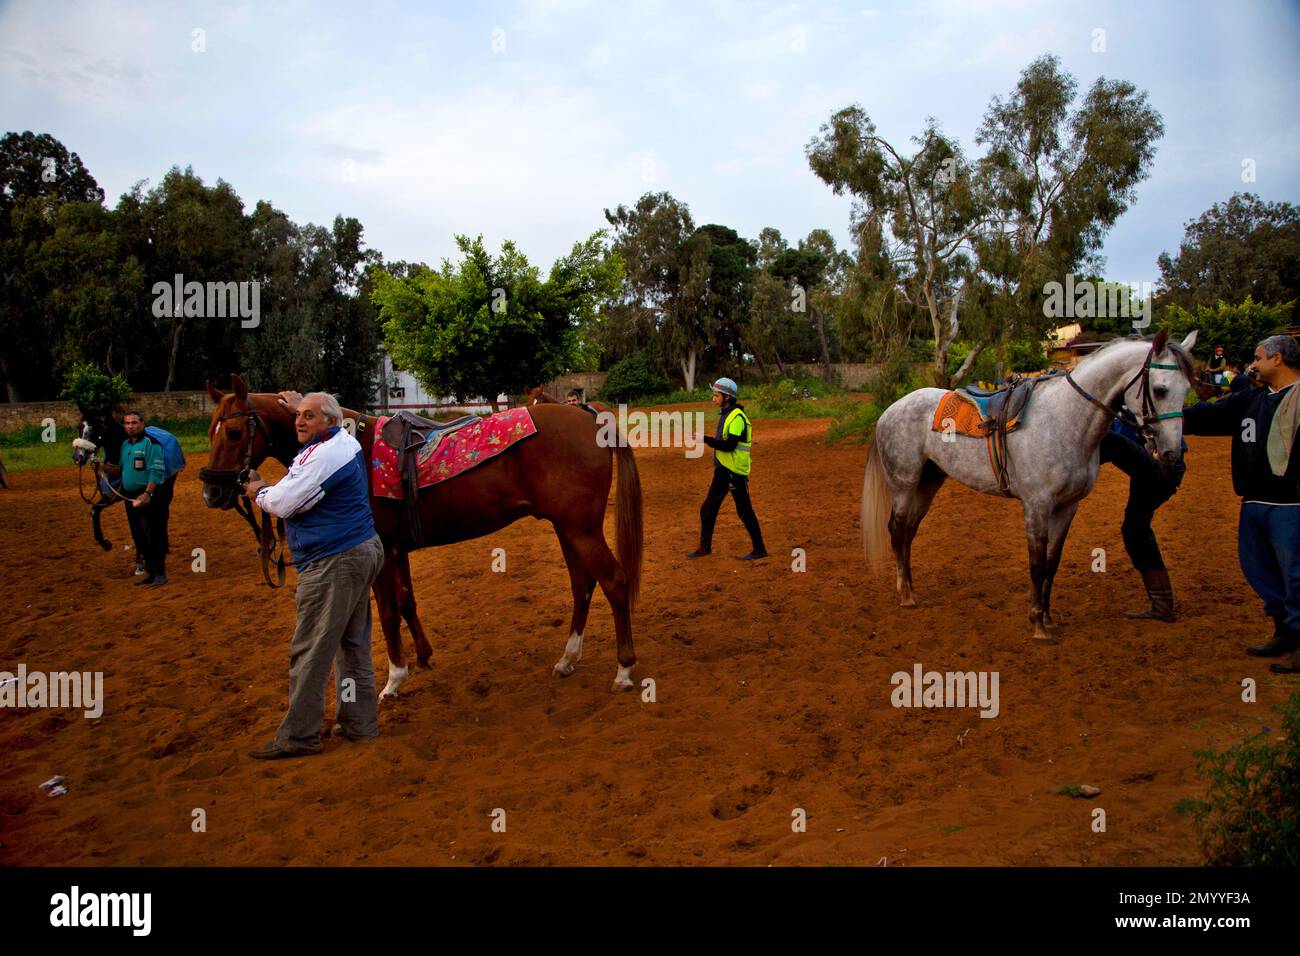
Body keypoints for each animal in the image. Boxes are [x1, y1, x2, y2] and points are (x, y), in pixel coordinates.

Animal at [199, 375, 644, 695]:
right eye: (210, 432)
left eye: (234, 433)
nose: (212, 491)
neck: (353, 448)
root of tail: (588, 417)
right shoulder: (398, 551)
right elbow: (406, 601)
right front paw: (424, 656)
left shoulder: (381, 551)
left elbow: (388, 611)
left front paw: (395, 679)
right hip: (566, 527)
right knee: (583, 584)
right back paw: (568, 659)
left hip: (581, 529)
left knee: (615, 582)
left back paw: (623, 670)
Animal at [860, 329, 1197, 642]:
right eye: (1160, 389)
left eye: (1187, 389)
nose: (1172, 452)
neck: (1065, 419)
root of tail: (890, 410)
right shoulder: (1037, 506)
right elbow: (1036, 563)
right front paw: (1037, 624)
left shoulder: (1067, 507)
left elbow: (1051, 563)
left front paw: (1047, 617)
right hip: (905, 485)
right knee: (898, 532)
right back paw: (906, 595)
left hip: (928, 484)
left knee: (908, 534)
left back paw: (910, 588)